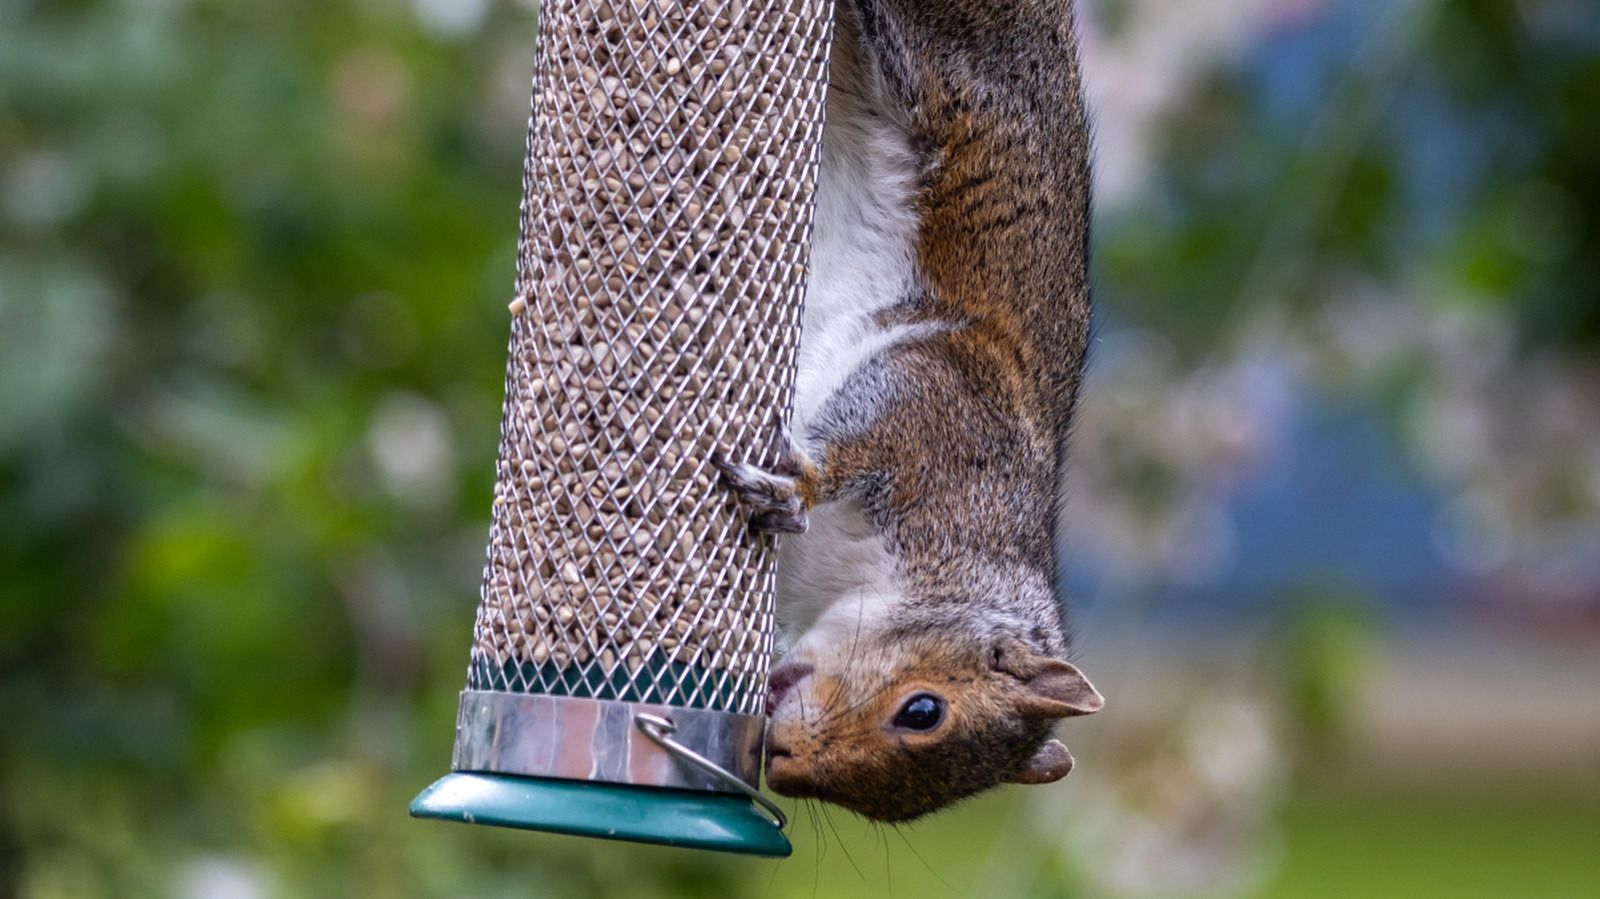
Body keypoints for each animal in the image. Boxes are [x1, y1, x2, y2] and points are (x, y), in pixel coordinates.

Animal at [714, 0, 1103, 822]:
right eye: (924, 711)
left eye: (898, 809)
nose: (782, 760)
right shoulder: (947, 408)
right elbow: (870, 424)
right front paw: (796, 488)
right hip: (940, 63)